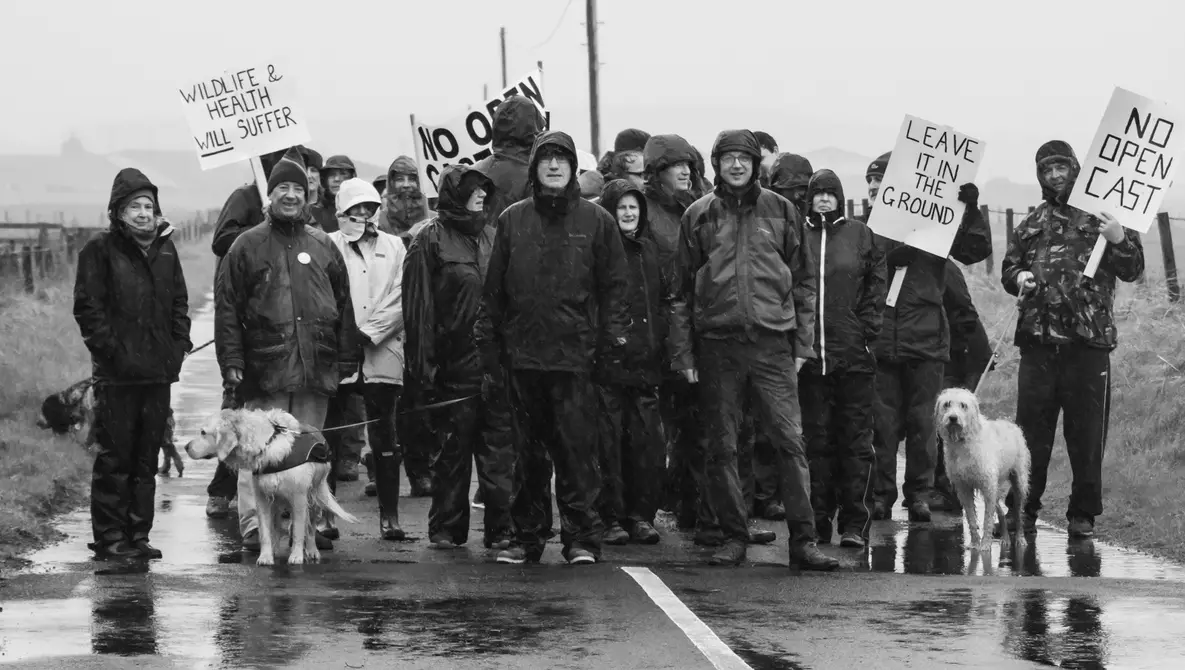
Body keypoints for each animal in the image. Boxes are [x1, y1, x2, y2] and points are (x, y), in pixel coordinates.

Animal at [182, 407, 357, 564]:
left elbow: (299, 529)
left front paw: (296, 555)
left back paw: (312, 550)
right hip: (278, 501)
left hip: (313, 496)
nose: (185, 447)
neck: (267, 444)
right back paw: (275, 549)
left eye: (203, 432)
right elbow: (266, 532)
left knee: (311, 527)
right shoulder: (262, 499)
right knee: (278, 527)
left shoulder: (299, 499)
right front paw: (265, 556)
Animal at [933, 386, 1028, 547]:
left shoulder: (988, 485)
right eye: (947, 404)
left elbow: (988, 519)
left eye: (963, 405)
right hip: (997, 488)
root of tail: (1011, 424)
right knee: (1001, 512)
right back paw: (1005, 538)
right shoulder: (964, 487)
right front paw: (975, 543)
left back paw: (1020, 539)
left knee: (1018, 512)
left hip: (1018, 481)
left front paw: (985, 545)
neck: (964, 442)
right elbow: (971, 517)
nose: (953, 418)